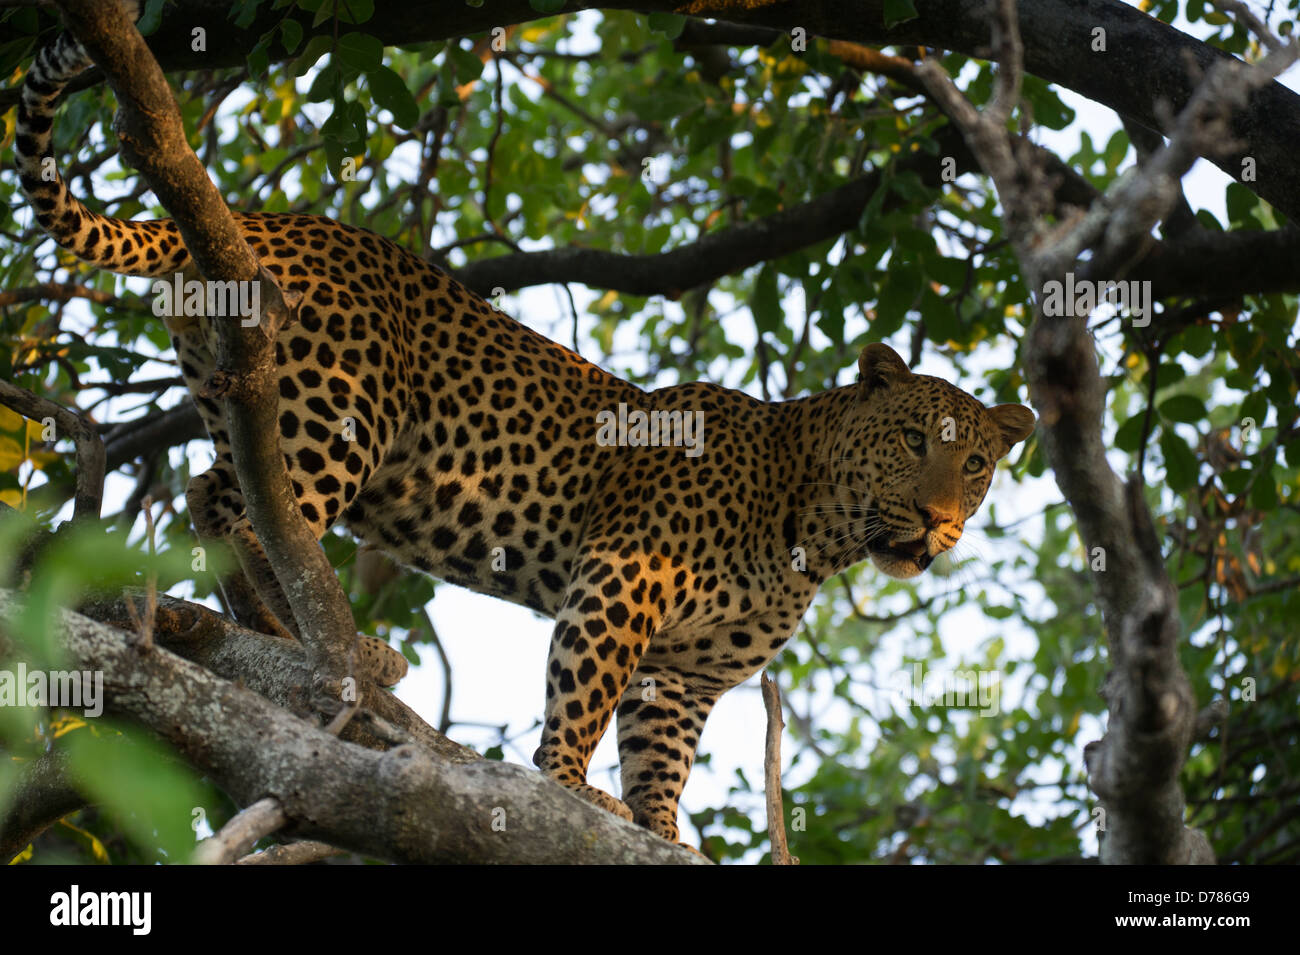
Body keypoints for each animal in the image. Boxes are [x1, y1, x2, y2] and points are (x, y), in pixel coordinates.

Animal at [15, 28, 1036, 849]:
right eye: (912, 439)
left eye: (977, 462)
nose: (938, 519)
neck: (818, 531)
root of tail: (254, 219)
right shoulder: (626, 573)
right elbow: (581, 696)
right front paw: (570, 788)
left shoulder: (687, 675)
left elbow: (660, 757)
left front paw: (662, 831)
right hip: (333, 416)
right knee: (251, 510)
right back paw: (314, 640)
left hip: (245, 400)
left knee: (213, 493)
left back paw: (274, 631)